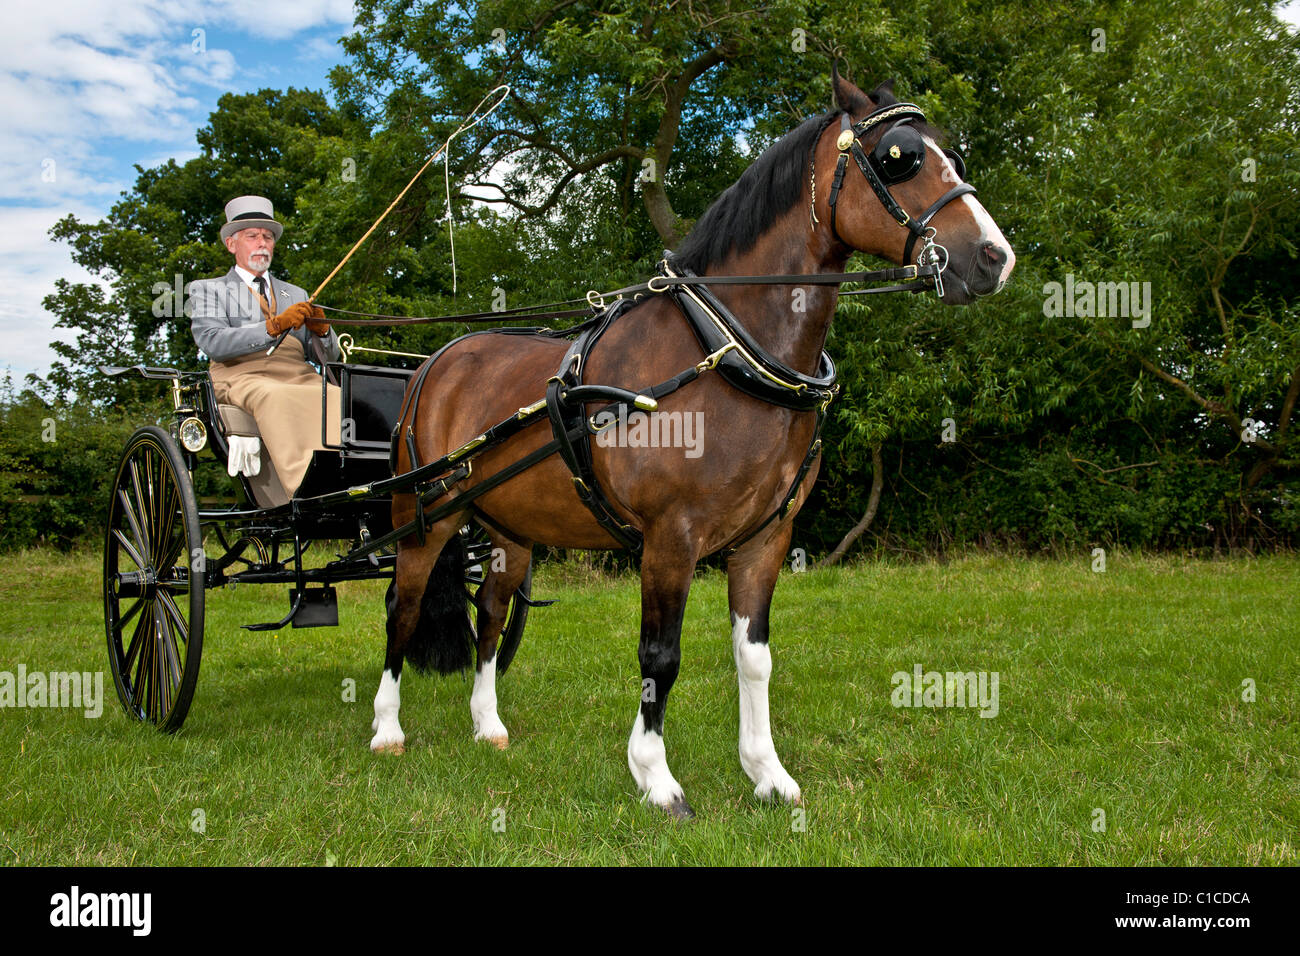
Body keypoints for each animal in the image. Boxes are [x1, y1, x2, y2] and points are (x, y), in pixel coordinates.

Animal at [369, 69, 1015, 818]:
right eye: (899, 158)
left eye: (953, 154)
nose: (995, 258)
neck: (727, 354)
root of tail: (435, 361)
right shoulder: (670, 536)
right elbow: (660, 656)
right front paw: (655, 776)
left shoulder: (766, 536)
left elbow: (754, 657)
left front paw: (767, 772)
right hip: (425, 516)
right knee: (403, 607)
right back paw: (387, 729)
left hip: (508, 528)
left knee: (493, 616)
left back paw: (487, 724)